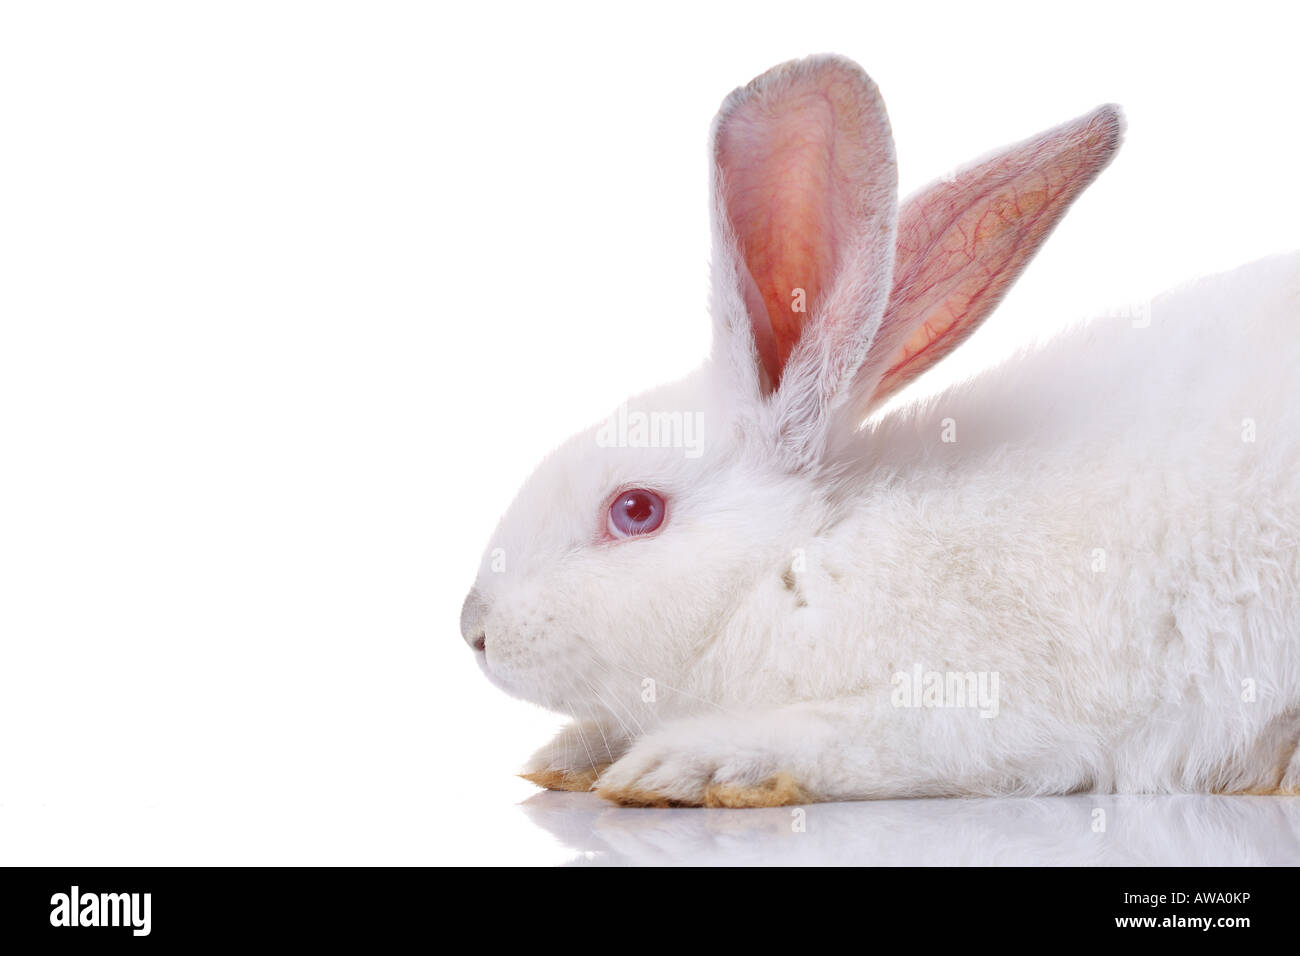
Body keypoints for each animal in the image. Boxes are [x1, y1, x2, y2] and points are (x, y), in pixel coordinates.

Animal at [460, 53, 1300, 807]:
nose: (473, 628)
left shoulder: (979, 709)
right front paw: (564, 758)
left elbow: (852, 741)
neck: (801, 559)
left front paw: (685, 767)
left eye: (635, 510)